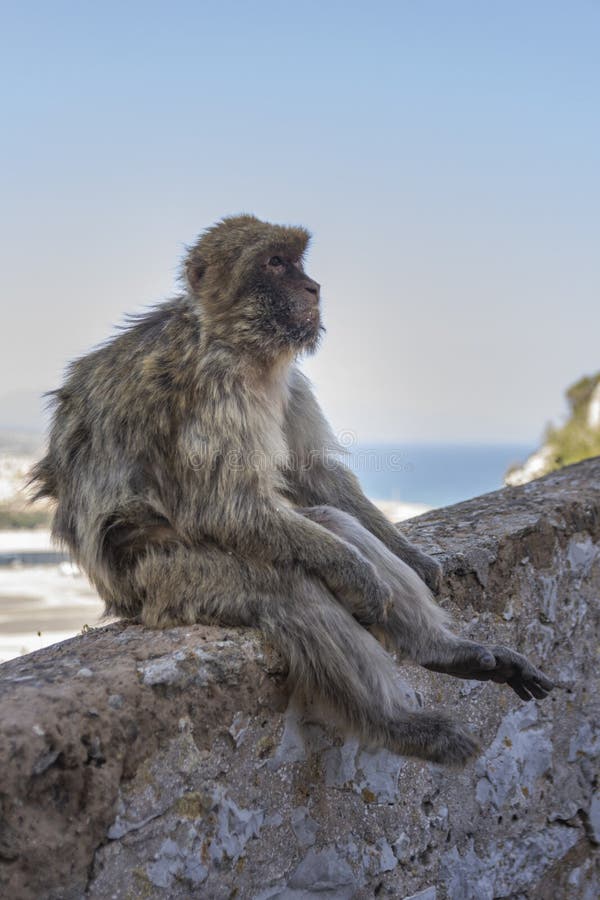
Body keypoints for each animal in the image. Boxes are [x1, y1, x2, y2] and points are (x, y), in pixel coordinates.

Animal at [30, 214, 553, 765]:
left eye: (297, 260)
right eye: (275, 263)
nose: (313, 286)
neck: (235, 342)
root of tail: (115, 594)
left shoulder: (288, 379)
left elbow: (313, 474)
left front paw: (414, 557)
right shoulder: (213, 386)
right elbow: (227, 508)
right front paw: (362, 580)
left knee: (328, 523)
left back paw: (444, 652)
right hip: (159, 574)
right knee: (284, 584)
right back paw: (398, 722)